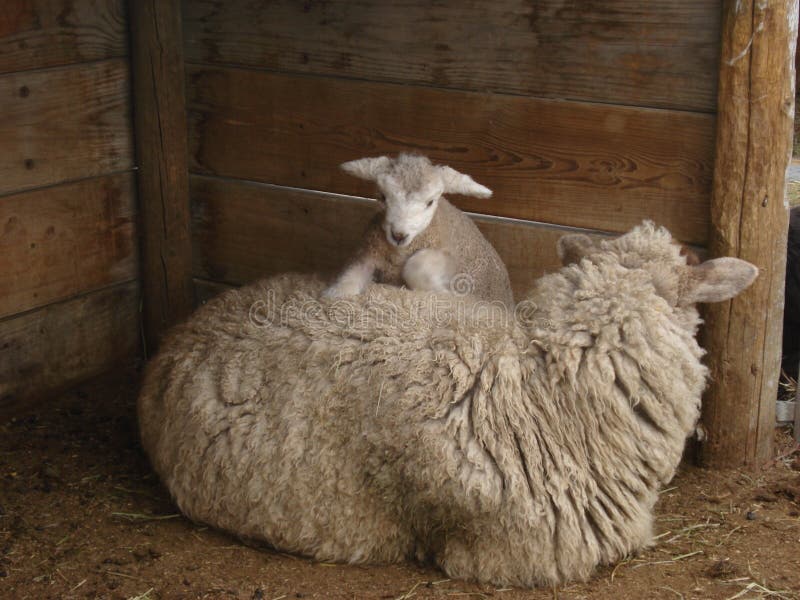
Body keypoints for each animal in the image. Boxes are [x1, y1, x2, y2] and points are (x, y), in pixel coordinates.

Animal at [324, 153, 515, 308]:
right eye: (383, 197)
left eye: (430, 202)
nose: (398, 235)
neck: (400, 252)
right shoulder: (369, 253)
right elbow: (346, 282)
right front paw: (336, 294)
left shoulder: (451, 259)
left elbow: (416, 266)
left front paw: (445, 293)